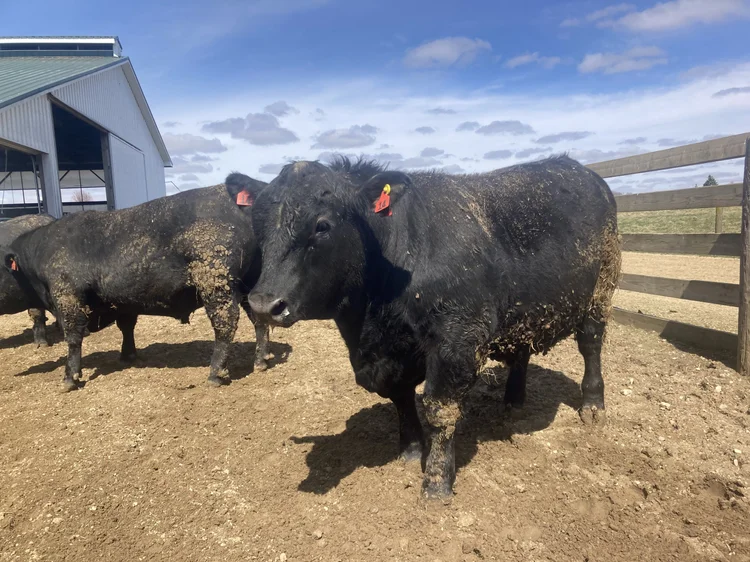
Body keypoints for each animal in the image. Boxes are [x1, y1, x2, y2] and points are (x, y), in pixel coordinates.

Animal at [247, 156, 621, 500]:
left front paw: (437, 481)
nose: (264, 305)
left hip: (601, 292)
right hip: (523, 310)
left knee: (590, 345)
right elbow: (401, 398)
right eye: (256, 224)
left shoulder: (457, 340)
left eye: (322, 225)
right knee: (521, 354)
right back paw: (513, 402)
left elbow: (440, 410)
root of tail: (579, 168)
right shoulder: (391, 353)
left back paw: (592, 407)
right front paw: (411, 449)